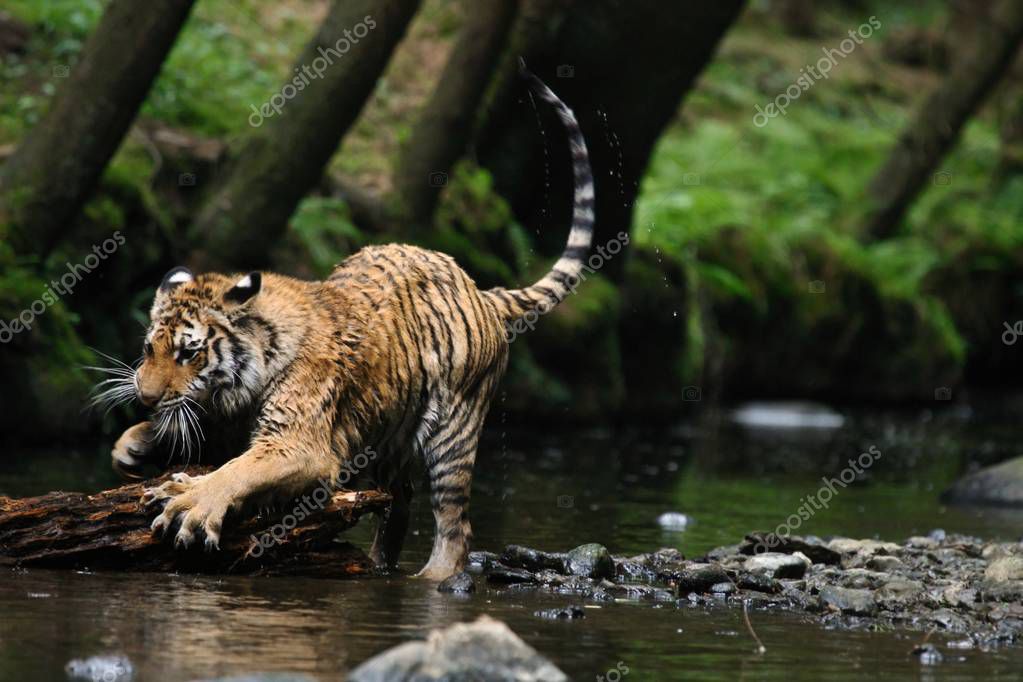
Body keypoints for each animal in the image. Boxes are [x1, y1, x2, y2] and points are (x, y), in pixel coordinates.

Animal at [104, 65, 596, 579]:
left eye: (189, 353)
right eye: (149, 349)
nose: (145, 396)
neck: (240, 386)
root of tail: (479, 289)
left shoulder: (297, 442)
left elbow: (236, 470)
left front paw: (189, 502)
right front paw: (134, 444)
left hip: (452, 437)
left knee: (454, 529)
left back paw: (431, 579)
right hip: (389, 434)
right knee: (400, 502)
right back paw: (379, 566)